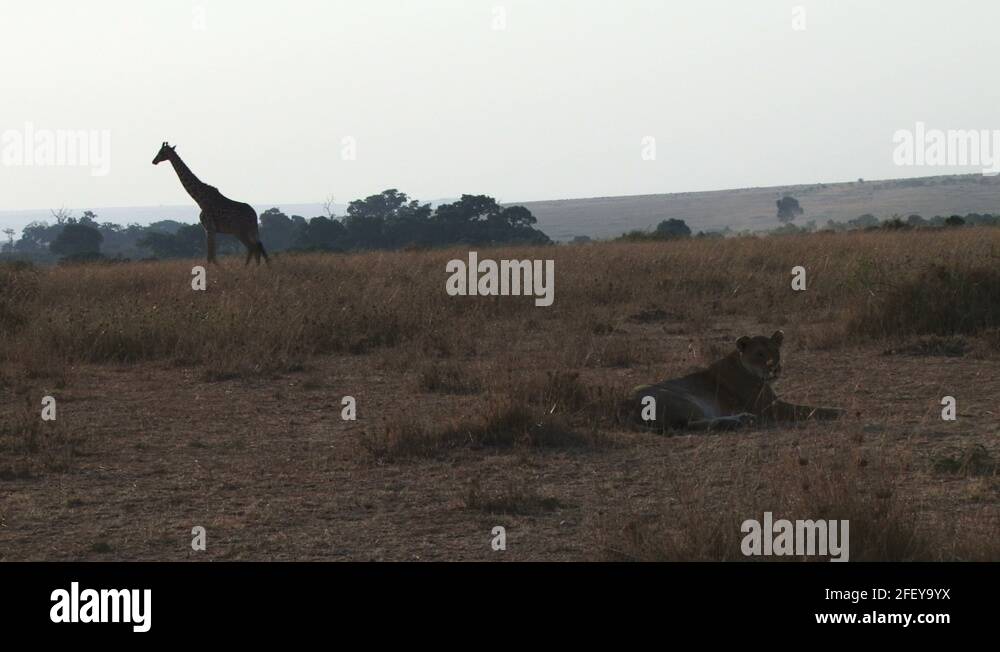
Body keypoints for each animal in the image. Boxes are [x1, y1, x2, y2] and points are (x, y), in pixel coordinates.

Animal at [631, 330, 845, 431]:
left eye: (775, 351)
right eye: (759, 354)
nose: (774, 368)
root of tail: (626, 411)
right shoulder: (770, 408)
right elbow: (808, 409)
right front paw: (839, 411)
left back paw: (742, 419)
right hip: (685, 399)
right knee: (691, 424)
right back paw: (742, 420)